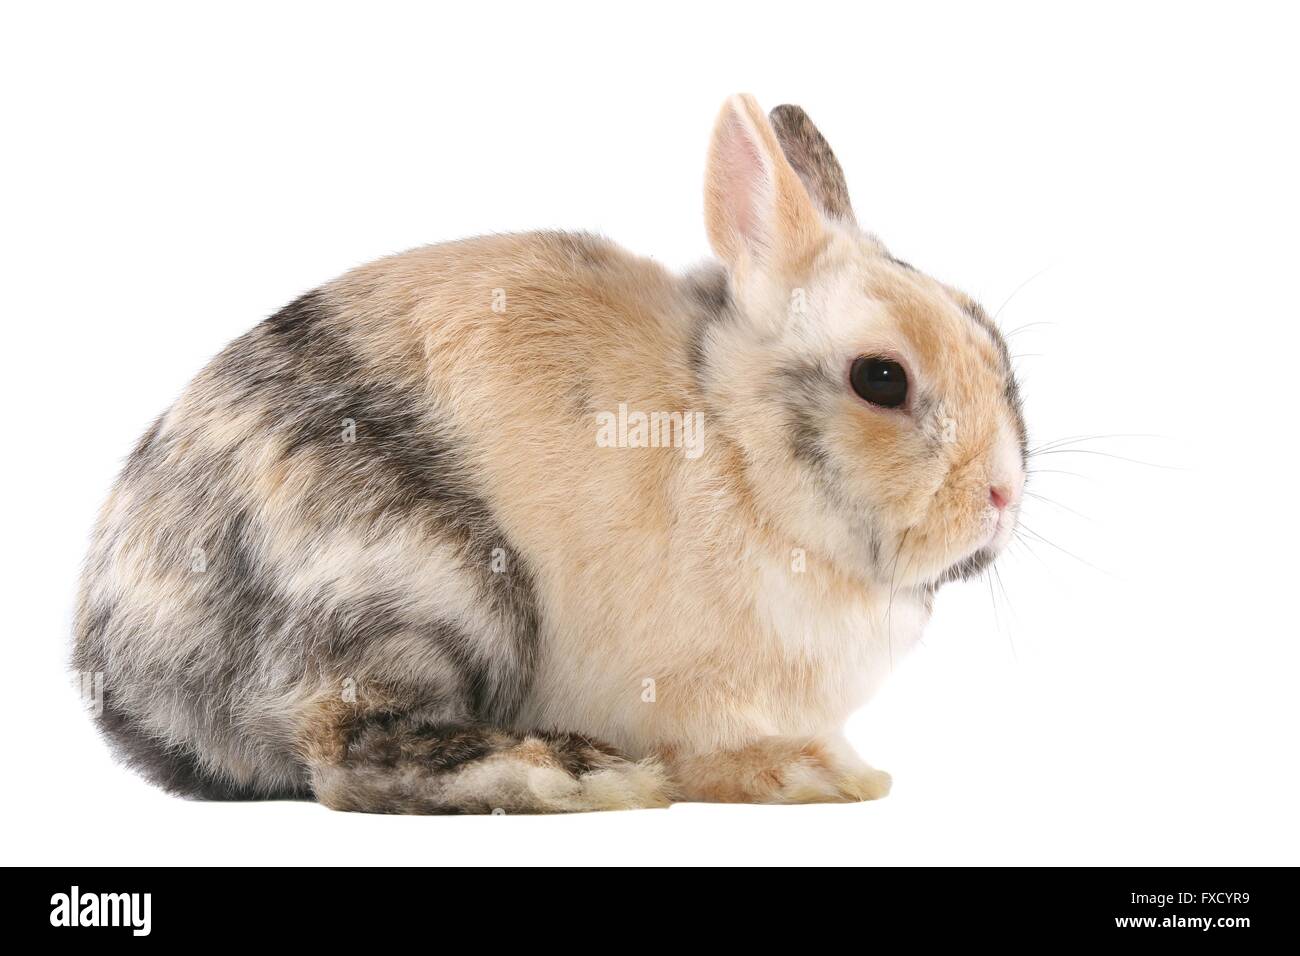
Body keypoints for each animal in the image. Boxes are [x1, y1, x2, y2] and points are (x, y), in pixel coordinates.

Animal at [73, 94, 1026, 813]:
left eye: (993, 338)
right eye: (880, 379)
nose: (1001, 495)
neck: (739, 448)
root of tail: (122, 654)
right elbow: (718, 750)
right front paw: (819, 774)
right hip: (426, 585)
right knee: (347, 756)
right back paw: (580, 775)